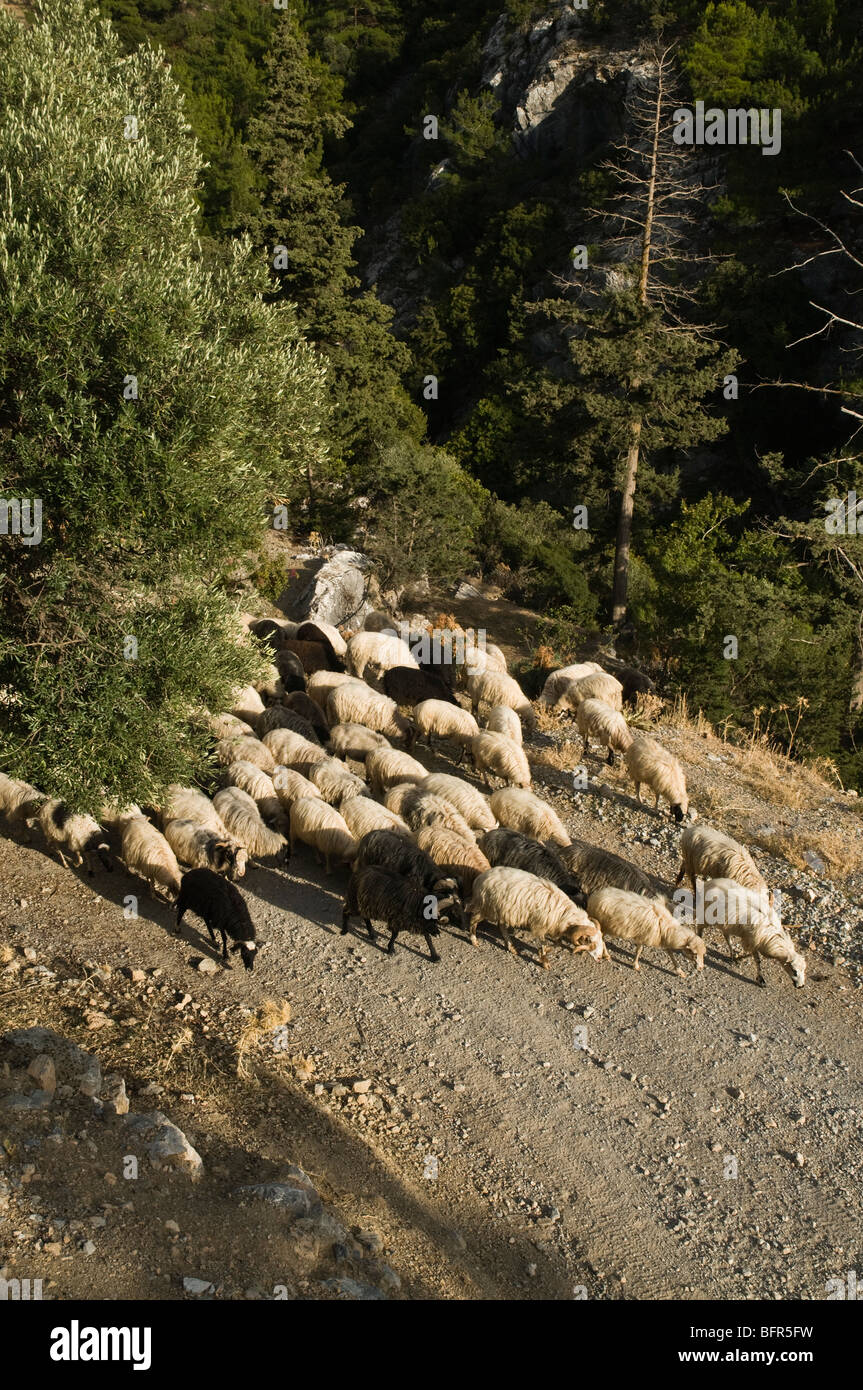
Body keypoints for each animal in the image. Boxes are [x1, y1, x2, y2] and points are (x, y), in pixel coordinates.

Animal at [466, 867, 603, 968]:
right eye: (590, 941)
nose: (600, 958)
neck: (565, 914)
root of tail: (480, 878)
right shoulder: (540, 926)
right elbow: (544, 943)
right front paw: (544, 960)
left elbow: (558, 943)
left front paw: (546, 951)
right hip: (487, 907)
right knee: (473, 920)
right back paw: (474, 940)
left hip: (503, 911)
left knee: (502, 927)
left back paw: (511, 947)